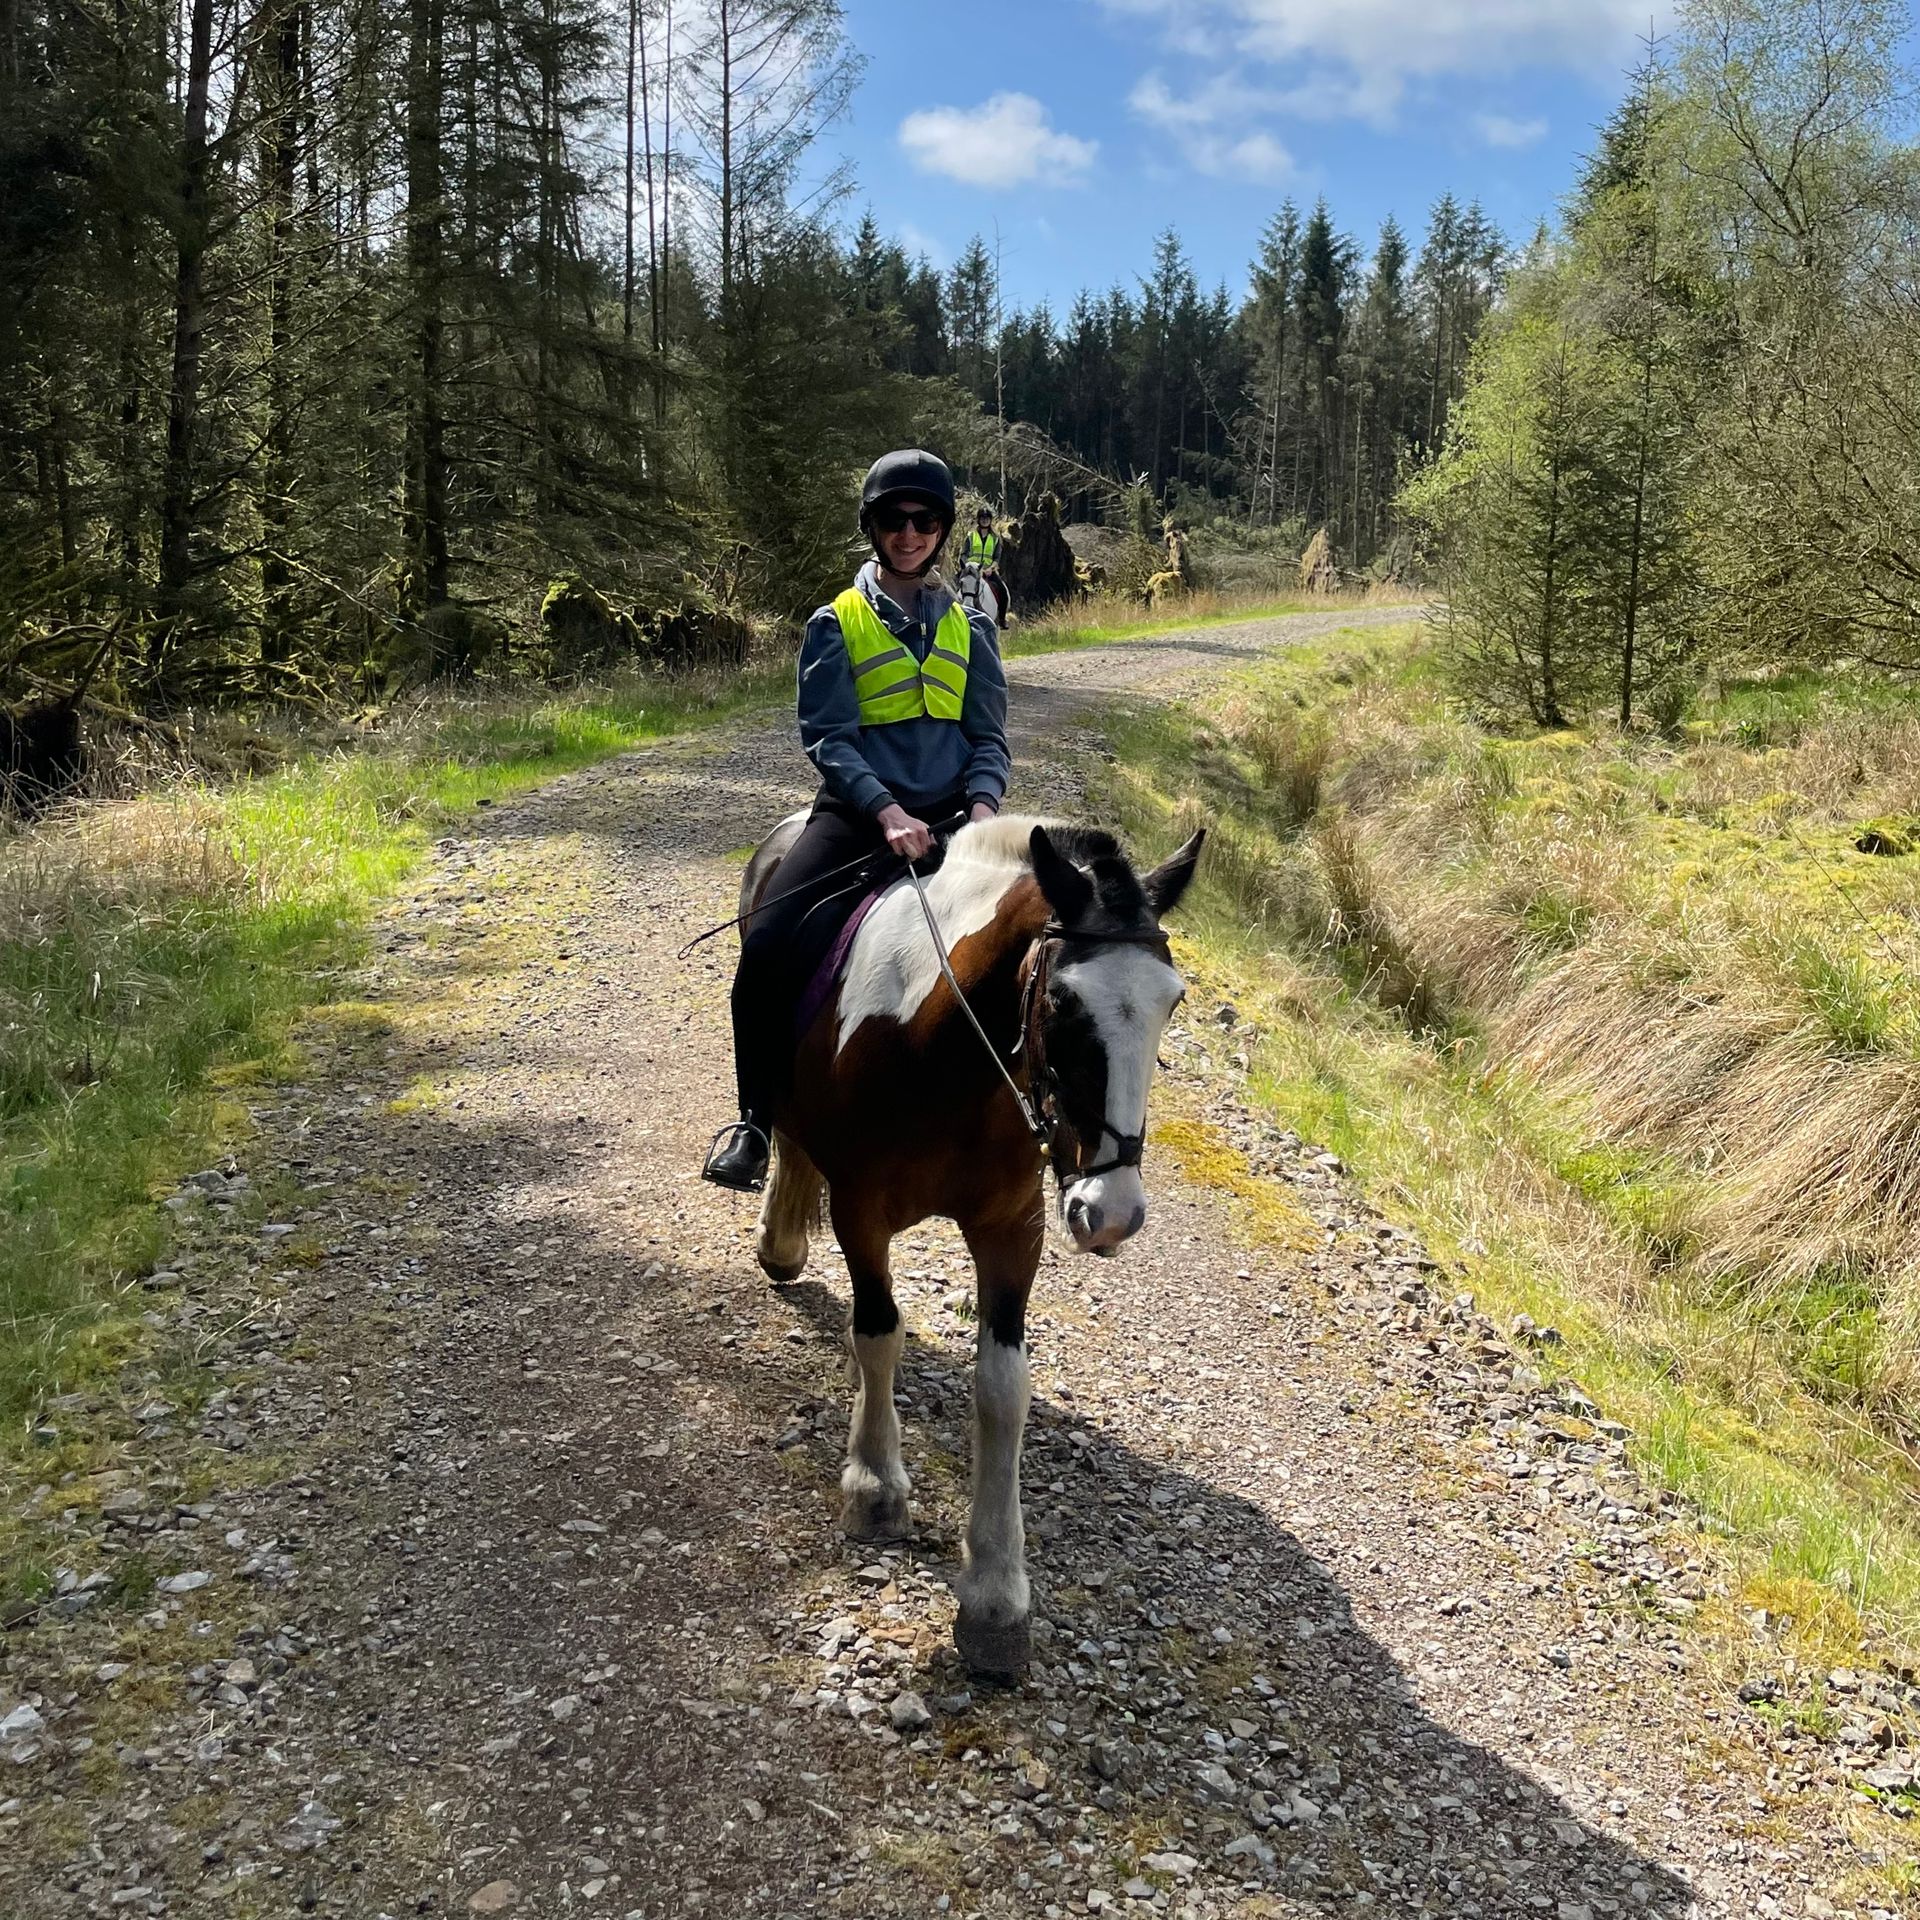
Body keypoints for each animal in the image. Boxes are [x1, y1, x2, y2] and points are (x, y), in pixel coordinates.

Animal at [735, 812, 1204, 1679]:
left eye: (1173, 1002)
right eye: (1061, 1001)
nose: (1112, 1213)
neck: (941, 1055)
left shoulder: (1011, 1230)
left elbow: (1002, 1389)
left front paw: (995, 1591)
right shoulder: (862, 1212)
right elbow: (879, 1333)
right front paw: (874, 1484)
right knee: (783, 1129)